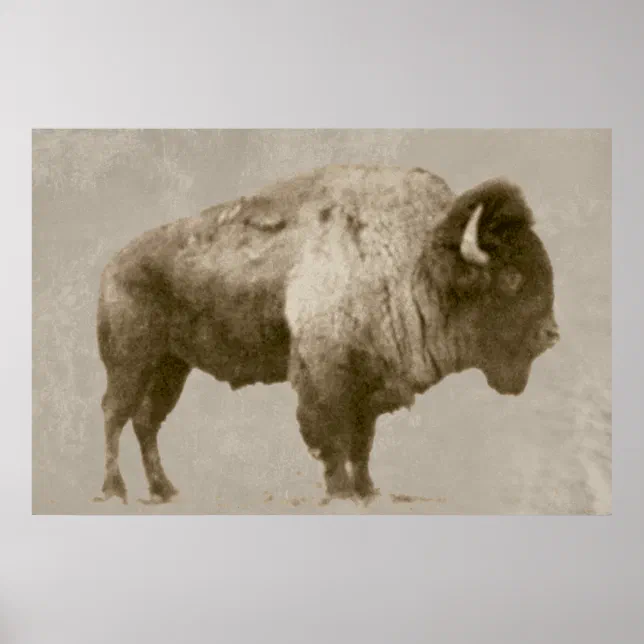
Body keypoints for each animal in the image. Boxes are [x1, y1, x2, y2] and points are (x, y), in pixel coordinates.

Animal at [94, 164, 559, 505]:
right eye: (512, 278)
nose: (551, 333)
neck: (415, 263)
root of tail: (114, 264)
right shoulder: (325, 379)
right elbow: (332, 438)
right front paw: (341, 493)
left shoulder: (369, 386)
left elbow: (362, 442)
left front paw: (367, 490)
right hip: (130, 363)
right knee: (115, 416)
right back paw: (115, 490)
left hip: (171, 367)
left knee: (146, 422)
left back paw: (164, 490)